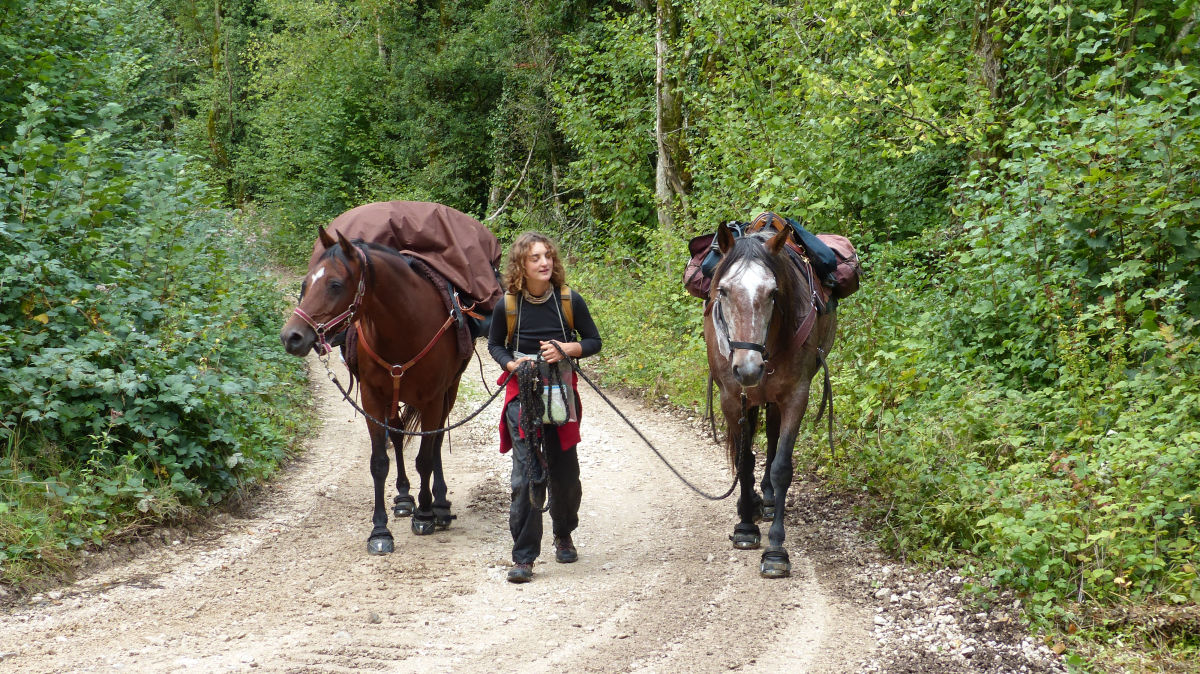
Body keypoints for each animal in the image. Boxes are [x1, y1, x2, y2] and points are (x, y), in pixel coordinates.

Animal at [280, 228, 471, 555]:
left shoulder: (433, 399)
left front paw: (425, 514)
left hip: (449, 391)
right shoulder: (372, 398)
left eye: (335, 285)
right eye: (305, 284)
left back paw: (439, 504)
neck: (405, 326)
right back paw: (404, 497)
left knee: (436, 442)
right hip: (392, 400)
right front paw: (380, 531)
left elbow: (425, 458)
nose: (291, 337)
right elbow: (380, 462)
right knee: (398, 434)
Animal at [703, 223, 837, 578]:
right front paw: (746, 527)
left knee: (774, 439)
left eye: (773, 293)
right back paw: (748, 503)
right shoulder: (732, 398)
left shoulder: (795, 396)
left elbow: (781, 467)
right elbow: (744, 460)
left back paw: (766, 499)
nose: (748, 368)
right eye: (723, 291)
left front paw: (776, 548)